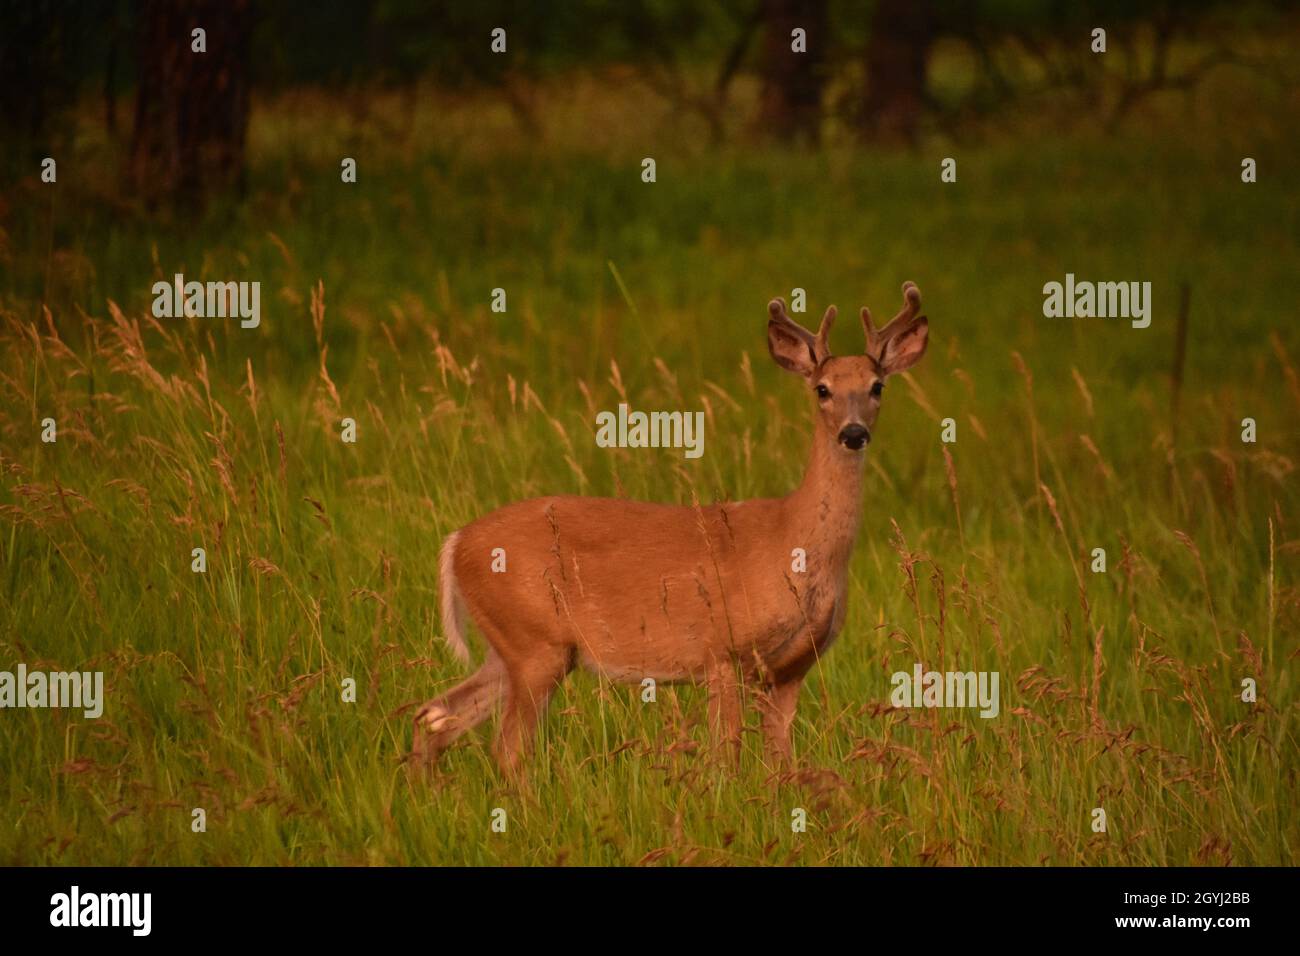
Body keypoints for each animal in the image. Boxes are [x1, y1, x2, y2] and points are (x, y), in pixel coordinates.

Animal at [411, 282, 931, 775]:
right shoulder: (723, 652)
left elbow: (783, 763)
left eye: (877, 386)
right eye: (822, 388)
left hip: (511, 647)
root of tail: (455, 543)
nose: (853, 433)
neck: (794, 541)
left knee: (433, 717)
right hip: (535, 641)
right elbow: (725, 758)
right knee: (506, 748)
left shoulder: (791, 669)